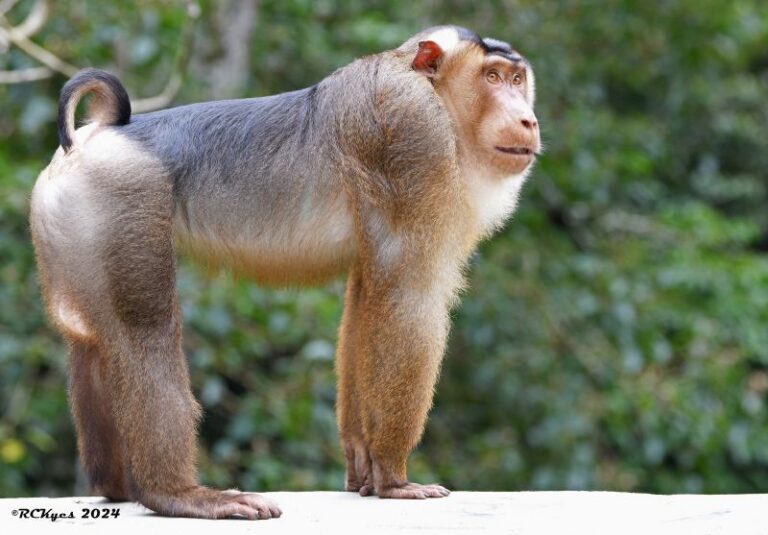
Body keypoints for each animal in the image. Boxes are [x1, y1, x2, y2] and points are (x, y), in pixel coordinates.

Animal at [29, 25, 540, 519]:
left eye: (517, 79)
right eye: (492, 77)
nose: (528, 119)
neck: (428, 88)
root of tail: (102, 134)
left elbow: (365, 297)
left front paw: (362, 462)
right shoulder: (414, 135)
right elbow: (408, 297)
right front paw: (394, 476)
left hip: (72, 217)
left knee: (88, 338)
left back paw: (115, 487)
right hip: (122, 196)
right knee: (143, 333)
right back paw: (175, 494)